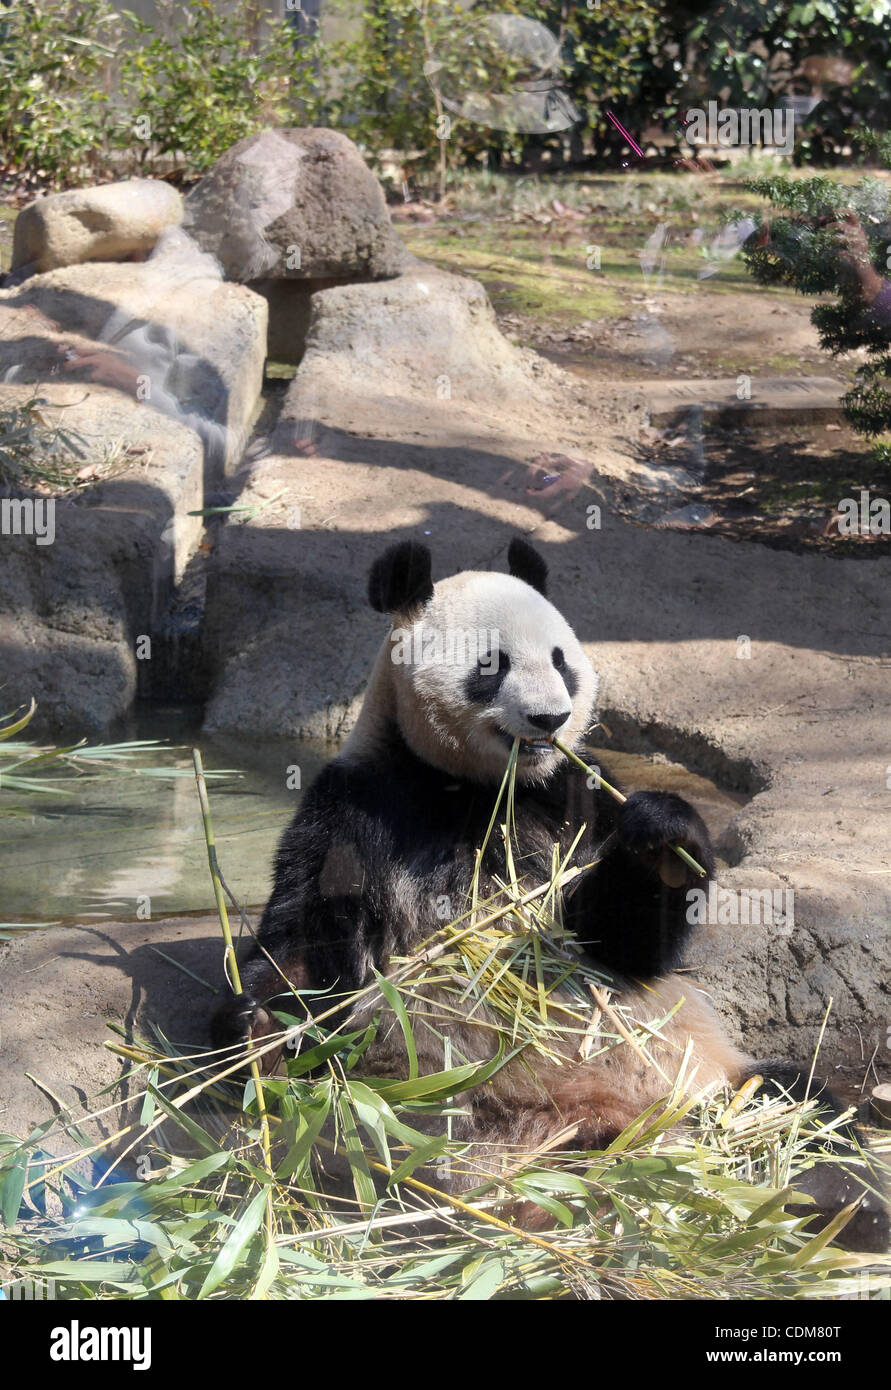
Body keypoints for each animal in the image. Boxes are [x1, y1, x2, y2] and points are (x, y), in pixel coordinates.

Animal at [211, 537, 888, 1251]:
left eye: (562, 661)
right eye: (491, 665)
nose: (551, 717)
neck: (481, 787)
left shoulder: (574, 797)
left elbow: (620, 944)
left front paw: (663, 843)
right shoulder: (355, 806)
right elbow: (305, 941)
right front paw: (254, 1026)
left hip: (702, 1081)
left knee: (798, 1104)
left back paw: (842, 1202)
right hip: (441, 1125)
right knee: (378, 1155)